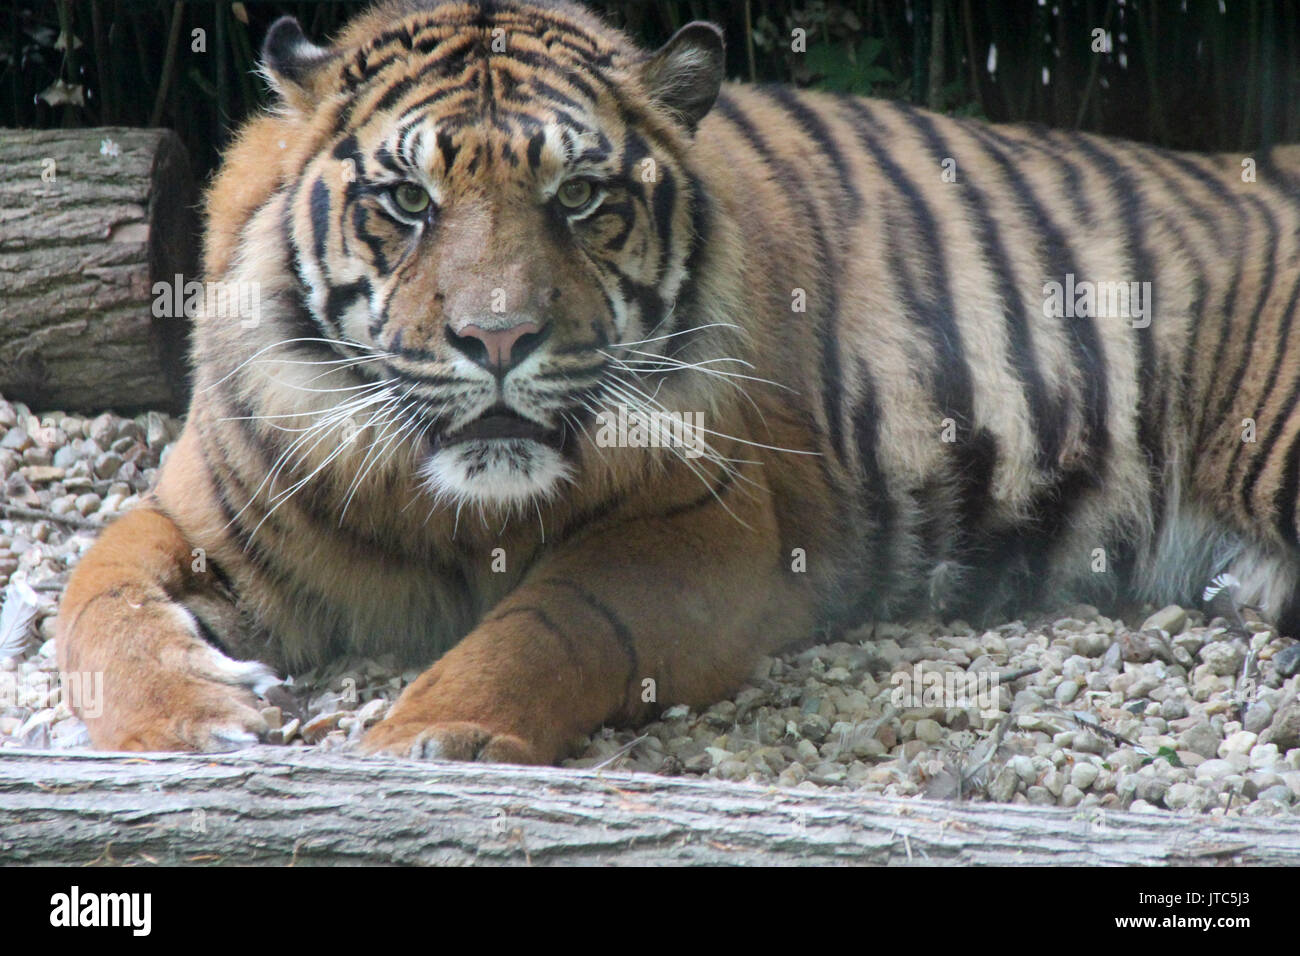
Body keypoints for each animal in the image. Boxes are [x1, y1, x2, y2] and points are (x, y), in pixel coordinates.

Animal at [56, 0, 1300, 763]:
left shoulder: (709, 530)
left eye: (578, 199)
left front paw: (433, 735)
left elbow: (548, 619)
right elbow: (96, 597)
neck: (451, 509)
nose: (496, 339)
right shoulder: (204, 510)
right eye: (408, 201)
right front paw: (192, 724)